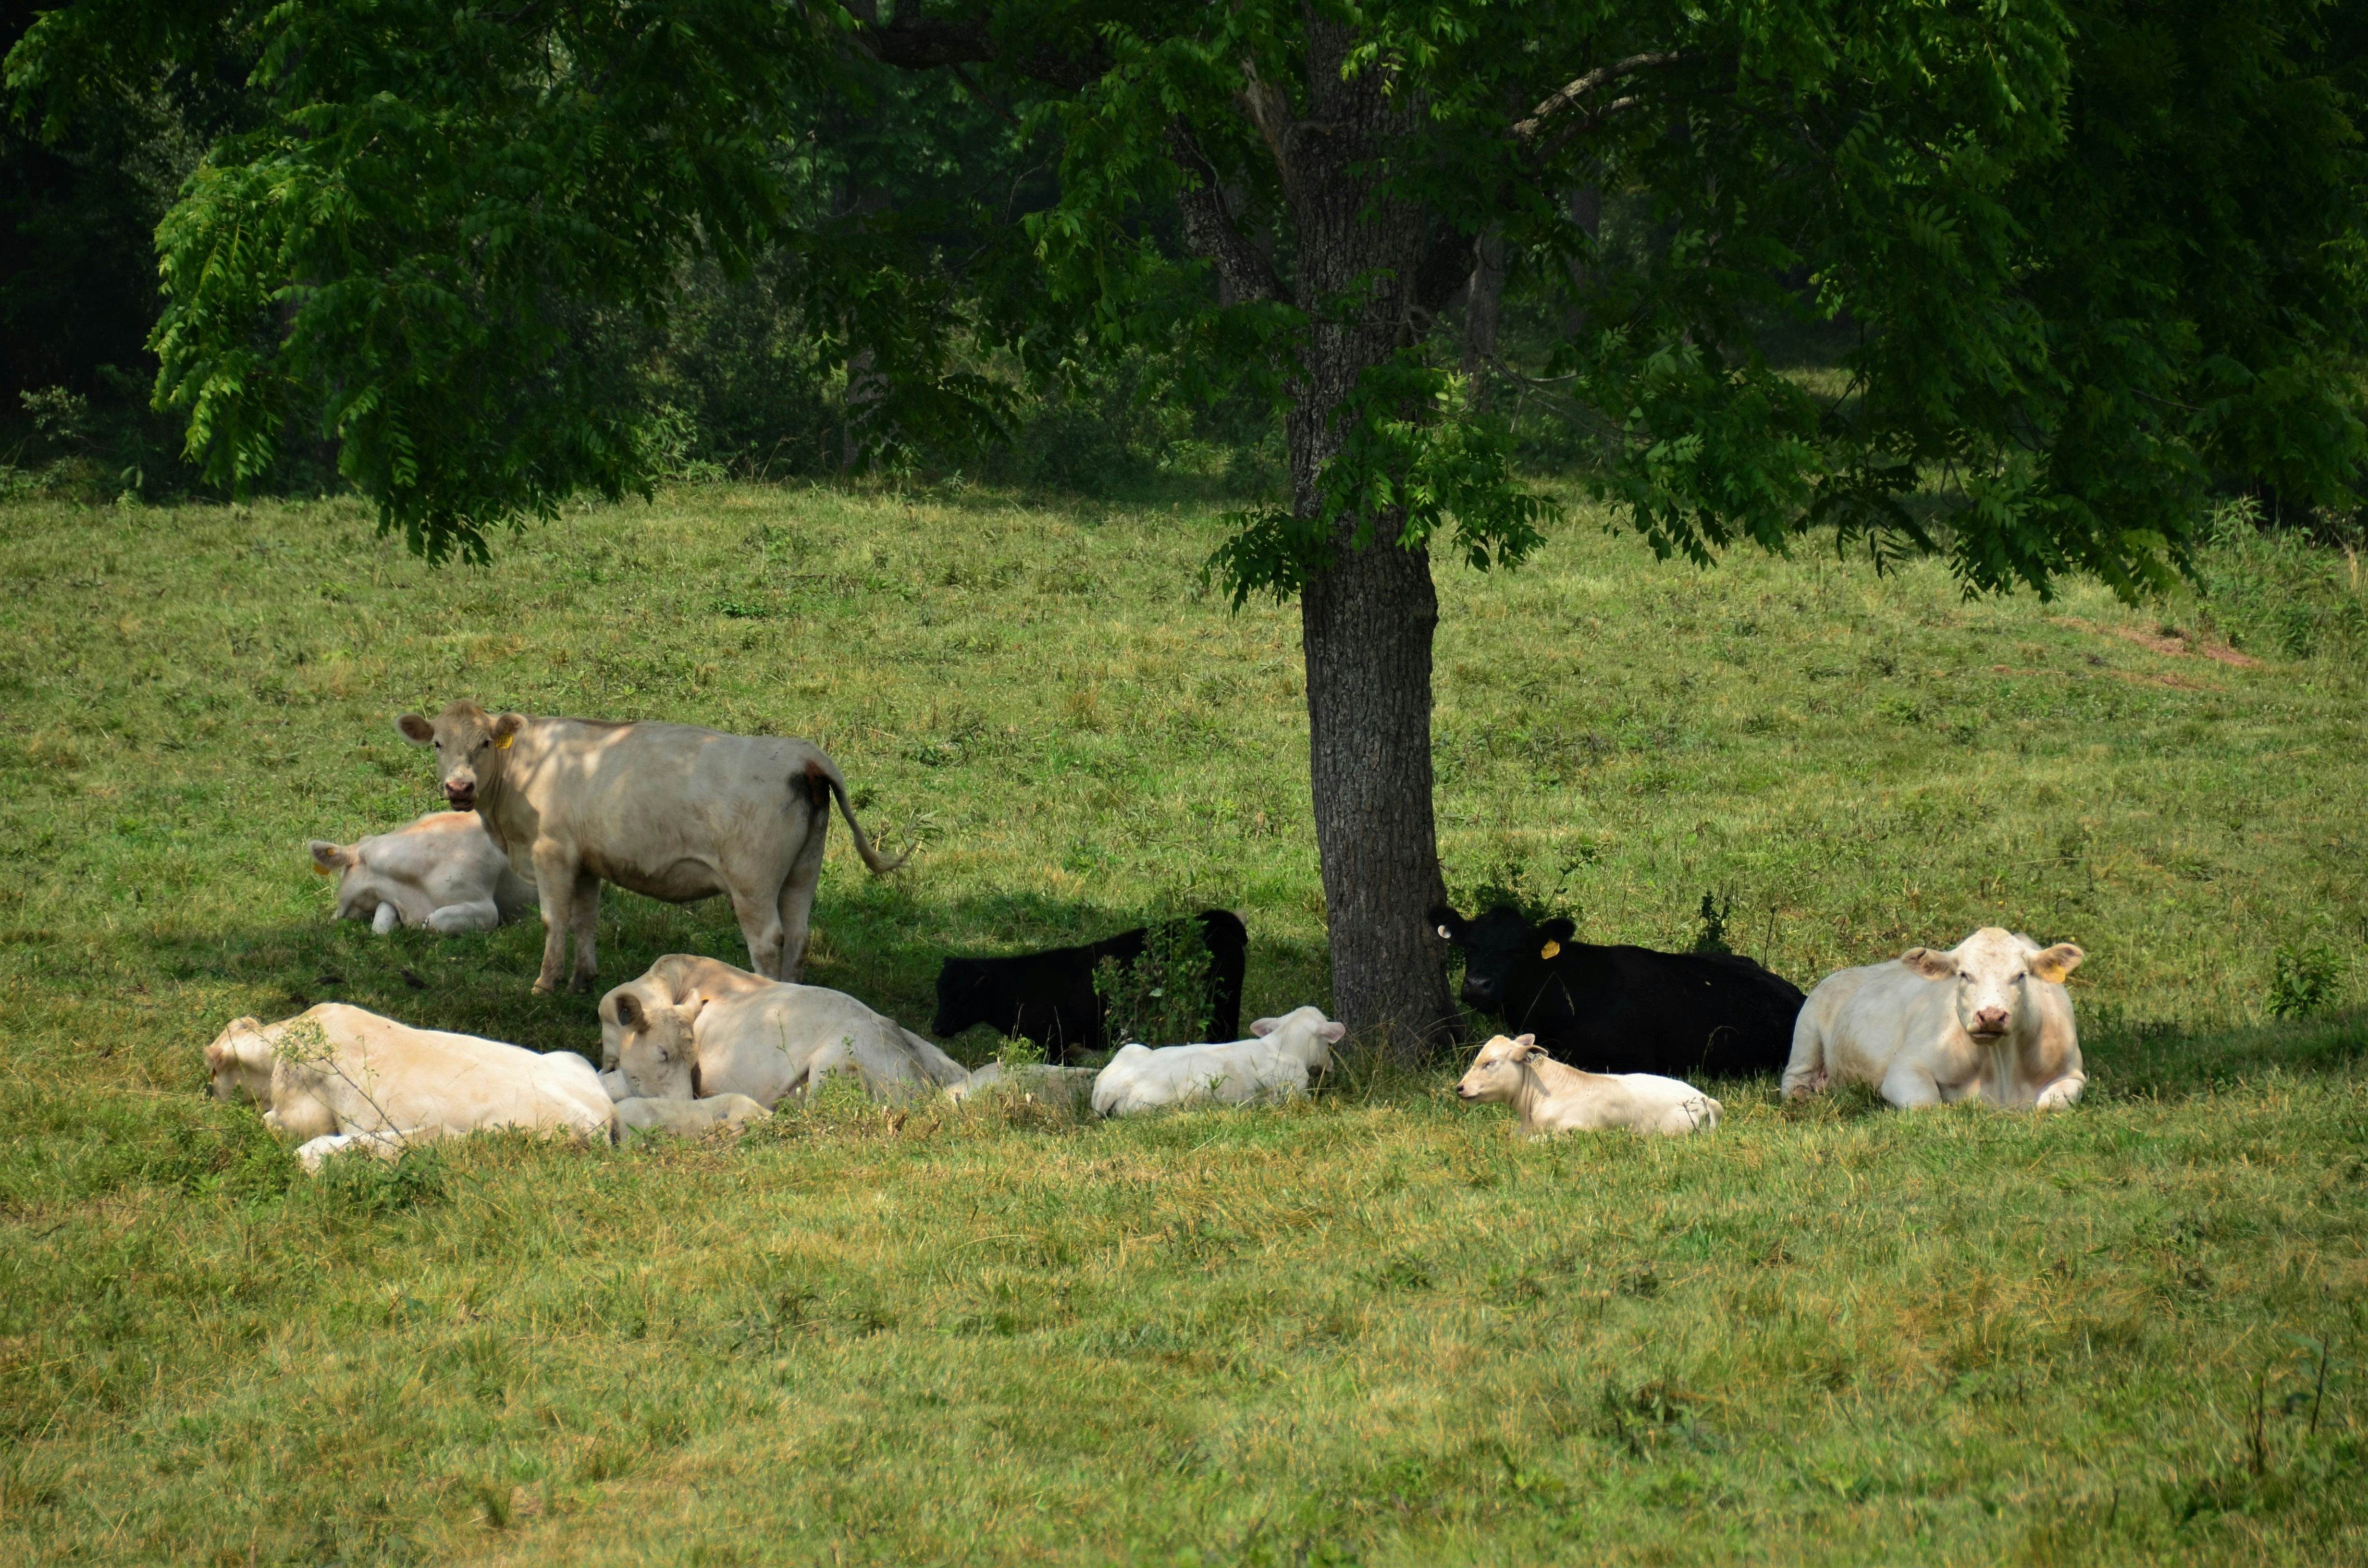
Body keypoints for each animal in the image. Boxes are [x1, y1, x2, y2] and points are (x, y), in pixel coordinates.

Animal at [202, 1003, 615, 1172]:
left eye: (212, 1073)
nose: (207, 1095)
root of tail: (595, 1117)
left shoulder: (299, 1113)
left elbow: (274, 1123)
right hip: (571, 1058)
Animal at [396, 700, 905, 994]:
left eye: (485, 742)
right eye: (437, 743)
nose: (459, 787)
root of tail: (802, 754)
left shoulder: (551, 854)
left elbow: (554, 920)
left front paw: (544, 984)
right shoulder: (587, 861)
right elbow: (585, 919)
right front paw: (582, 980)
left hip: (752, 881)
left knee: (769, 941)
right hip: (803, 871)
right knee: (799, 936)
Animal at [931, 910, 1248, 1062]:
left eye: (961, 995)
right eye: (940, 992)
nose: (937, 1028)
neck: (1016, 989)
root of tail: (1214, 921)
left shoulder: (1054, 1044)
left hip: (1222, 1012)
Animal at [1089, 1006, 1345, 1117]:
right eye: (1327, 1043)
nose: (1332, 1067)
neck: (1283, 1046)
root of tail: (1110, 1088)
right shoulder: (1293, 1091)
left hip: (1132, 1048)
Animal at [1782, 928, 2086, 1109]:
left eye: (2021, 975)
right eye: (1964, 974)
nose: (1991, 1016)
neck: (2002, 1072)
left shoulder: (2074, 1074)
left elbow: (2049, 1105)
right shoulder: (1905, 1066)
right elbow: (1927, 1103)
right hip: (1806, 1036)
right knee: (1794, 1079)